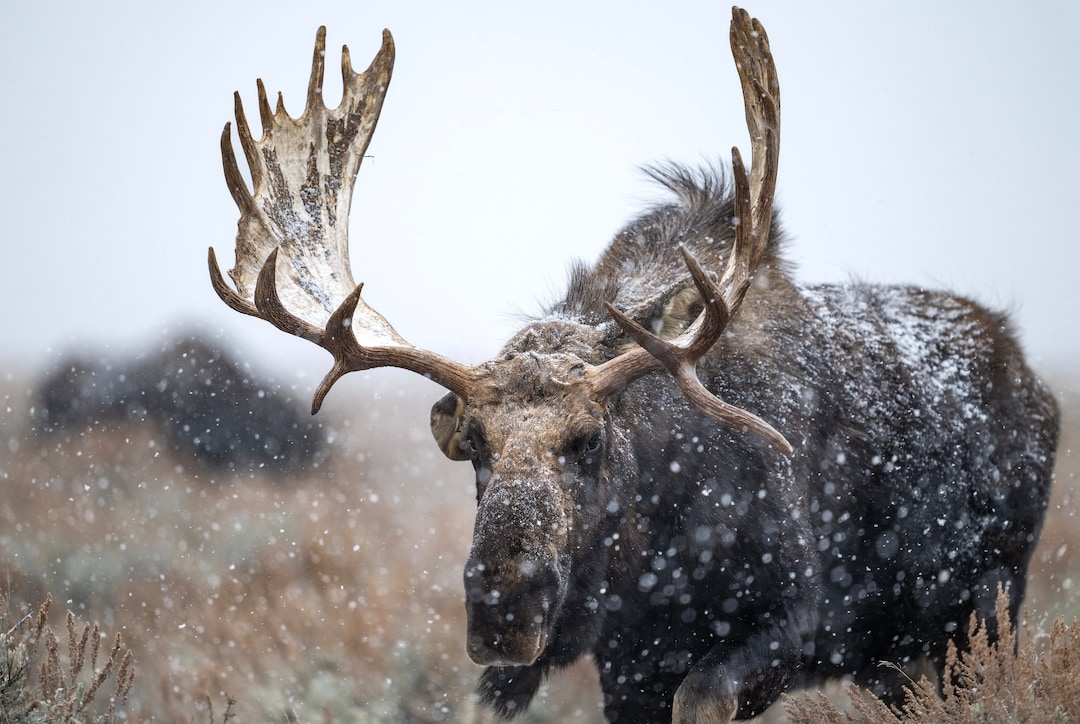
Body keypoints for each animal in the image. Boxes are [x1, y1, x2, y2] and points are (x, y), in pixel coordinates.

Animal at [206, 8, 1058, 722]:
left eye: (589, 441)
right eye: (474, 446)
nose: (502, 607)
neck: (659, 543)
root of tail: (1031, 376)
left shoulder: (792, 620)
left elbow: (703, 699)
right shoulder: (629, 661)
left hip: (984, 610)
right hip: (900, 656)